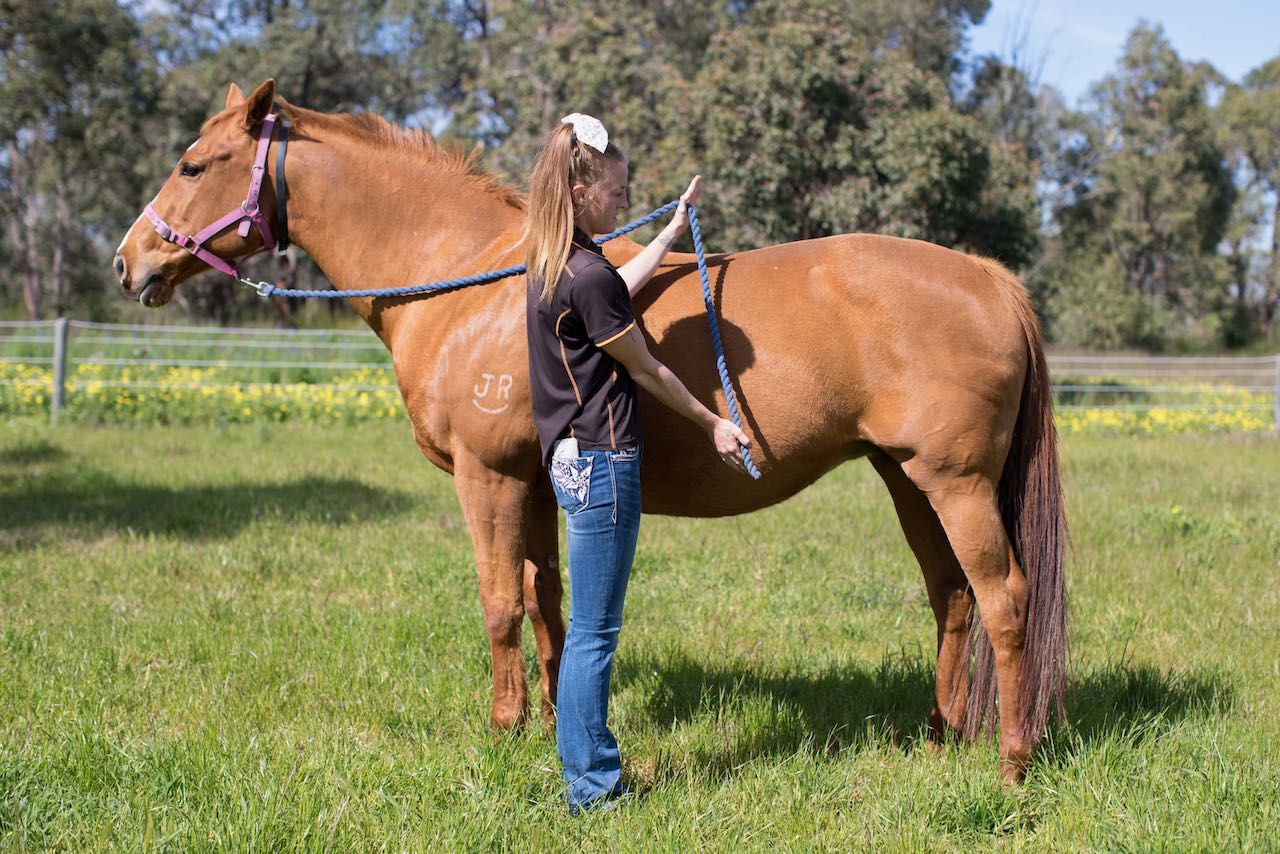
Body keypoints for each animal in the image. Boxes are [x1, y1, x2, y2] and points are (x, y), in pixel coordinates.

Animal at [113, 79, 1067, 783]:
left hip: (955, 484)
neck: (477, 279)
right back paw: (944, 735)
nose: (129, 262)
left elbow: (499, 605)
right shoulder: (539, 484)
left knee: (1004, 600)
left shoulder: (488, 479)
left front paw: (501, 733)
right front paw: (546, 727)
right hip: (907, 479)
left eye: (194, 163)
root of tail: (988, 276)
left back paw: (1012, 762)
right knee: (951, 598)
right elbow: (548, 608)